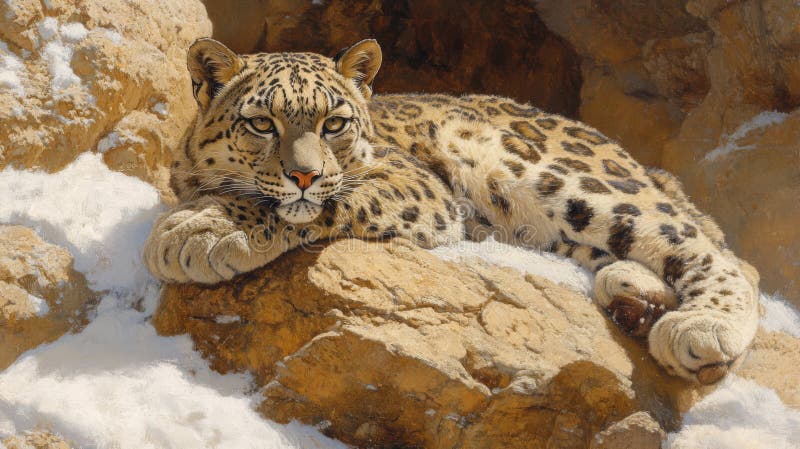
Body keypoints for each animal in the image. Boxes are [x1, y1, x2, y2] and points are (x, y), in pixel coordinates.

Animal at [143, 38, 761, 385]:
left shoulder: (417, 186)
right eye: (260, 123)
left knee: (718, 253)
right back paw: (634, 298)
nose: (304, 175)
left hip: (552, 176)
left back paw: (699, 329)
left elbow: (325, 204)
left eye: (334, 123)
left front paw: (202, 229)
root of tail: (639, 161)